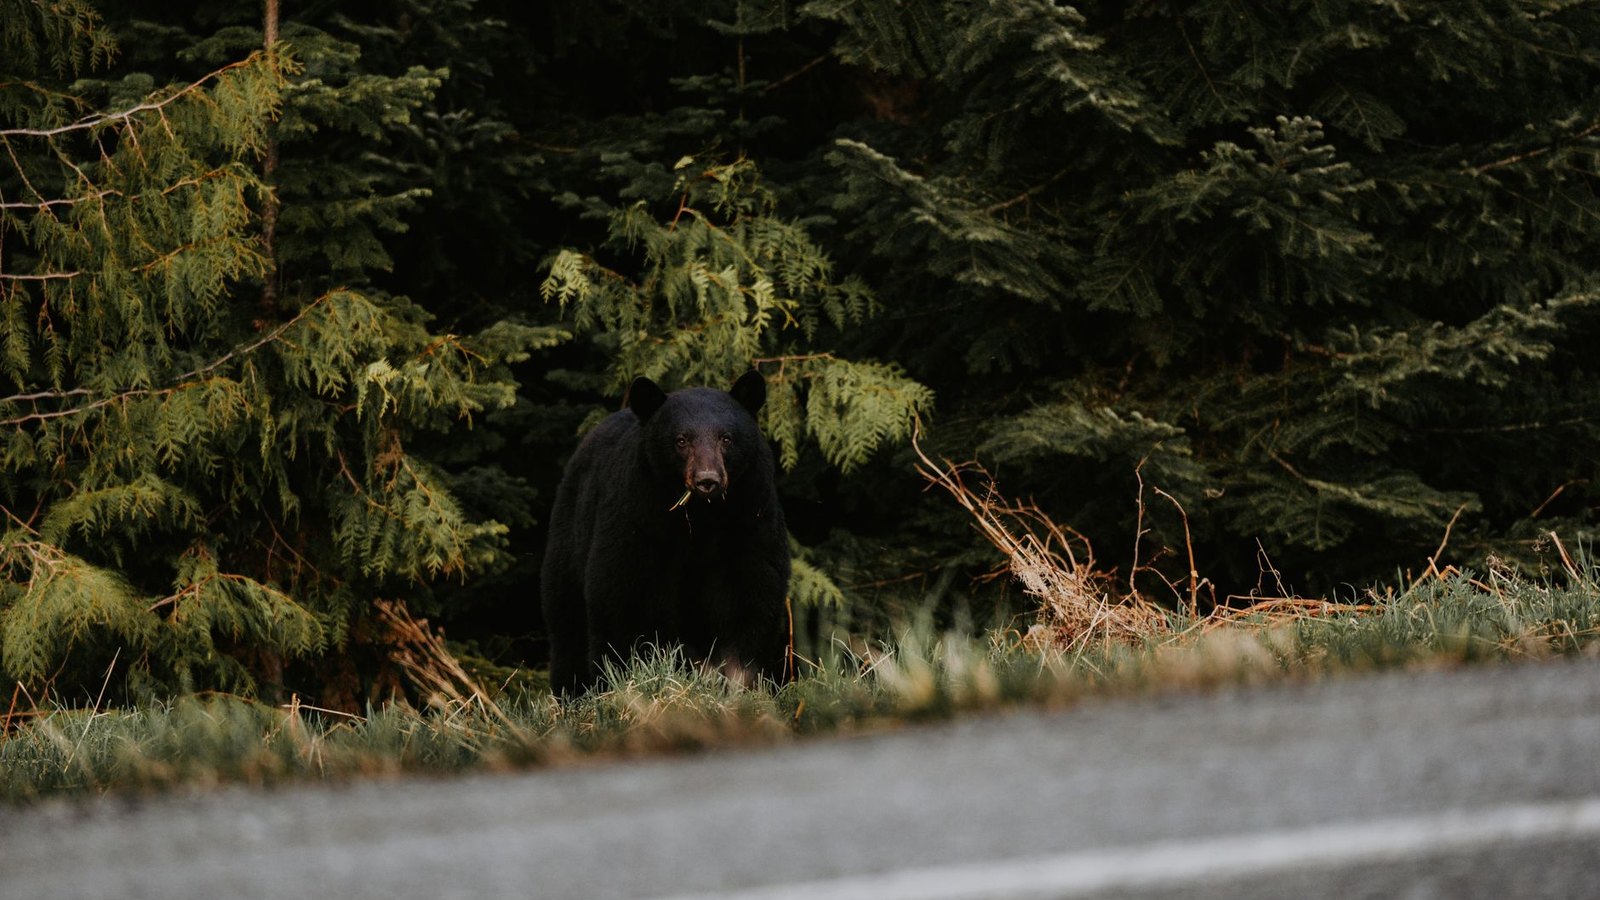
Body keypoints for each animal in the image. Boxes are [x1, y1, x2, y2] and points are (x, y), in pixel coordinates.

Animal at [540, 370, 792, 696]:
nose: (707, 480)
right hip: (569, 539)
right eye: (681, 440)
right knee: (567, 624)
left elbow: (752, 592)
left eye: (726, 438)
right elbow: (627, 598)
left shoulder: (750, 518)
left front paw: (737, 683)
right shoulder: (640, 518)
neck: (703, 517)